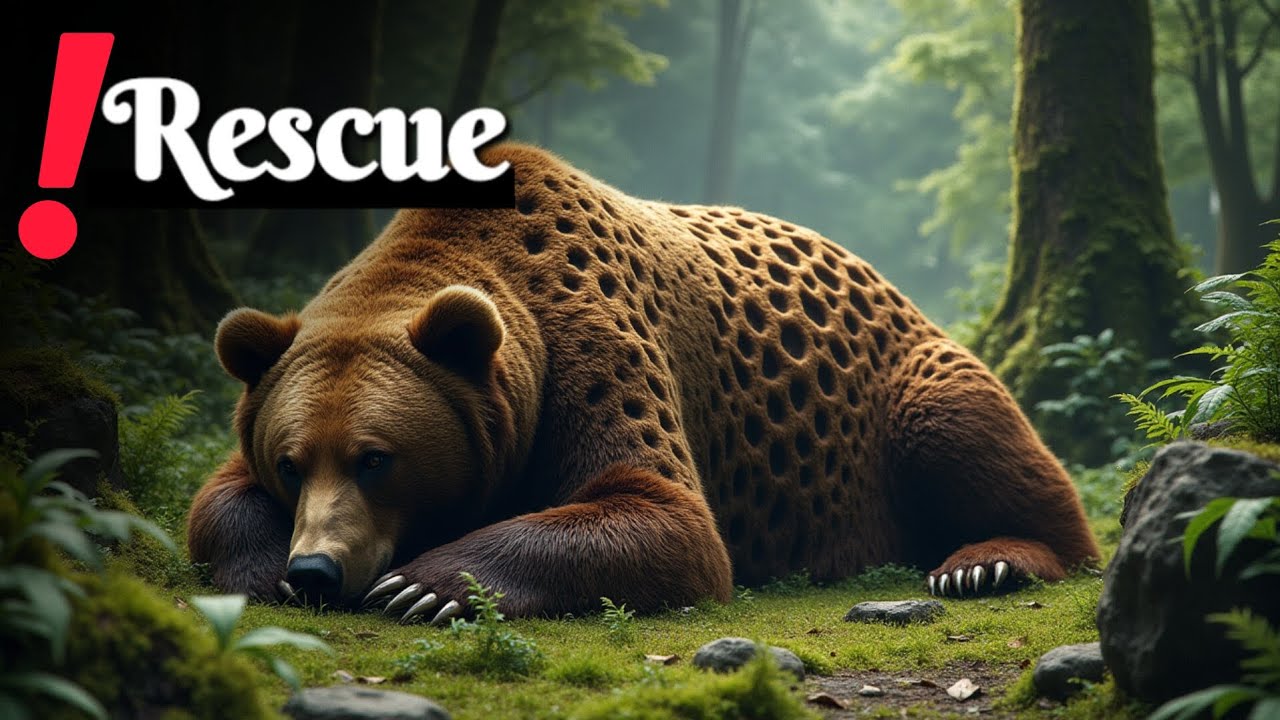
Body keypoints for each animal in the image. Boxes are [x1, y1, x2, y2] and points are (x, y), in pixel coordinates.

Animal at [187, 143, 1099, 623]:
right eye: (291, 461)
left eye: (377, 458)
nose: (317, 567)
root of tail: (880, 274)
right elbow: (213, 500)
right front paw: (264, 566)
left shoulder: (597, 346)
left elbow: (663, 515)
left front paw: (425, 585)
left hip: (902, 382)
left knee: (966, 429)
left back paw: (982, 564)